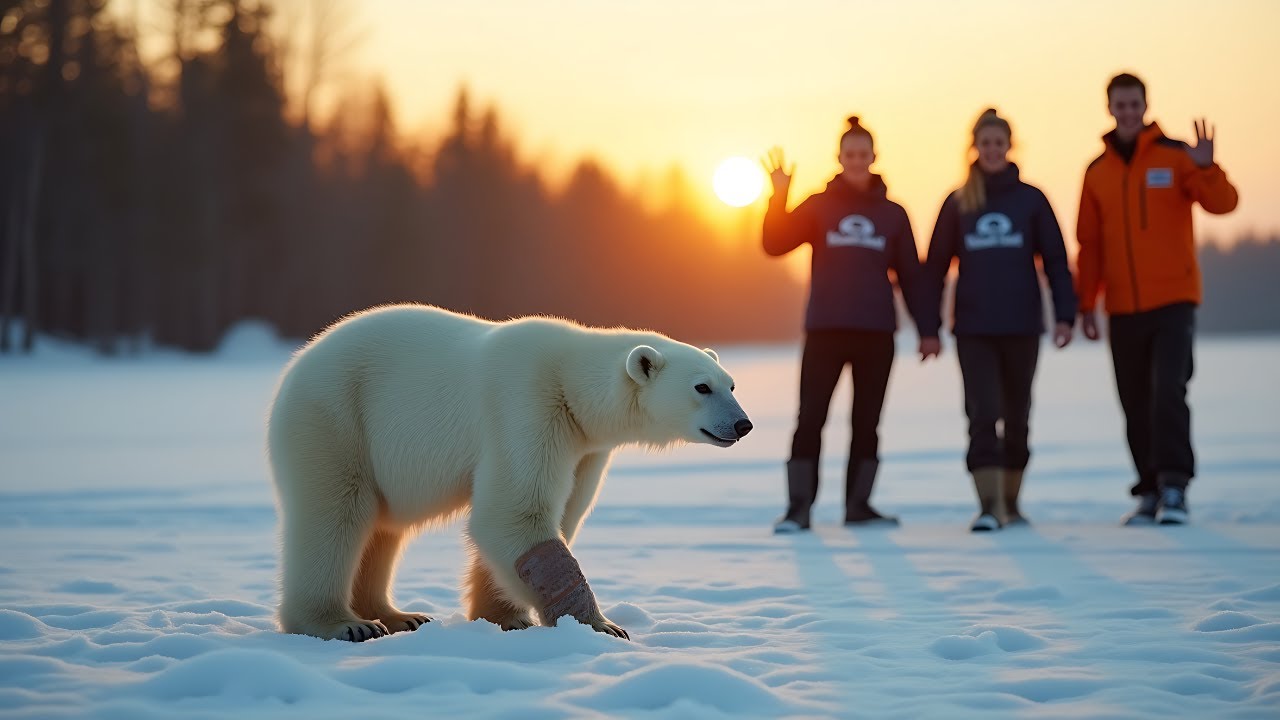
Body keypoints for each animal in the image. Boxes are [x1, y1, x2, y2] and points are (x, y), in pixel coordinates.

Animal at [266, 304, 752, 642]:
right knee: (336, 514)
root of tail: (295, 365)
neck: (570, 380)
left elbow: (556, 516)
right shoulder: (528, 404)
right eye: (701, 387)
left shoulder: (585, 448)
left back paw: (399, 615)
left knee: (382, 529)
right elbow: (513, 512)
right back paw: (343, 624)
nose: (742, 425)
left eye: (730, 383)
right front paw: (603, 625)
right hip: (335, 417)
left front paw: (505, 617)